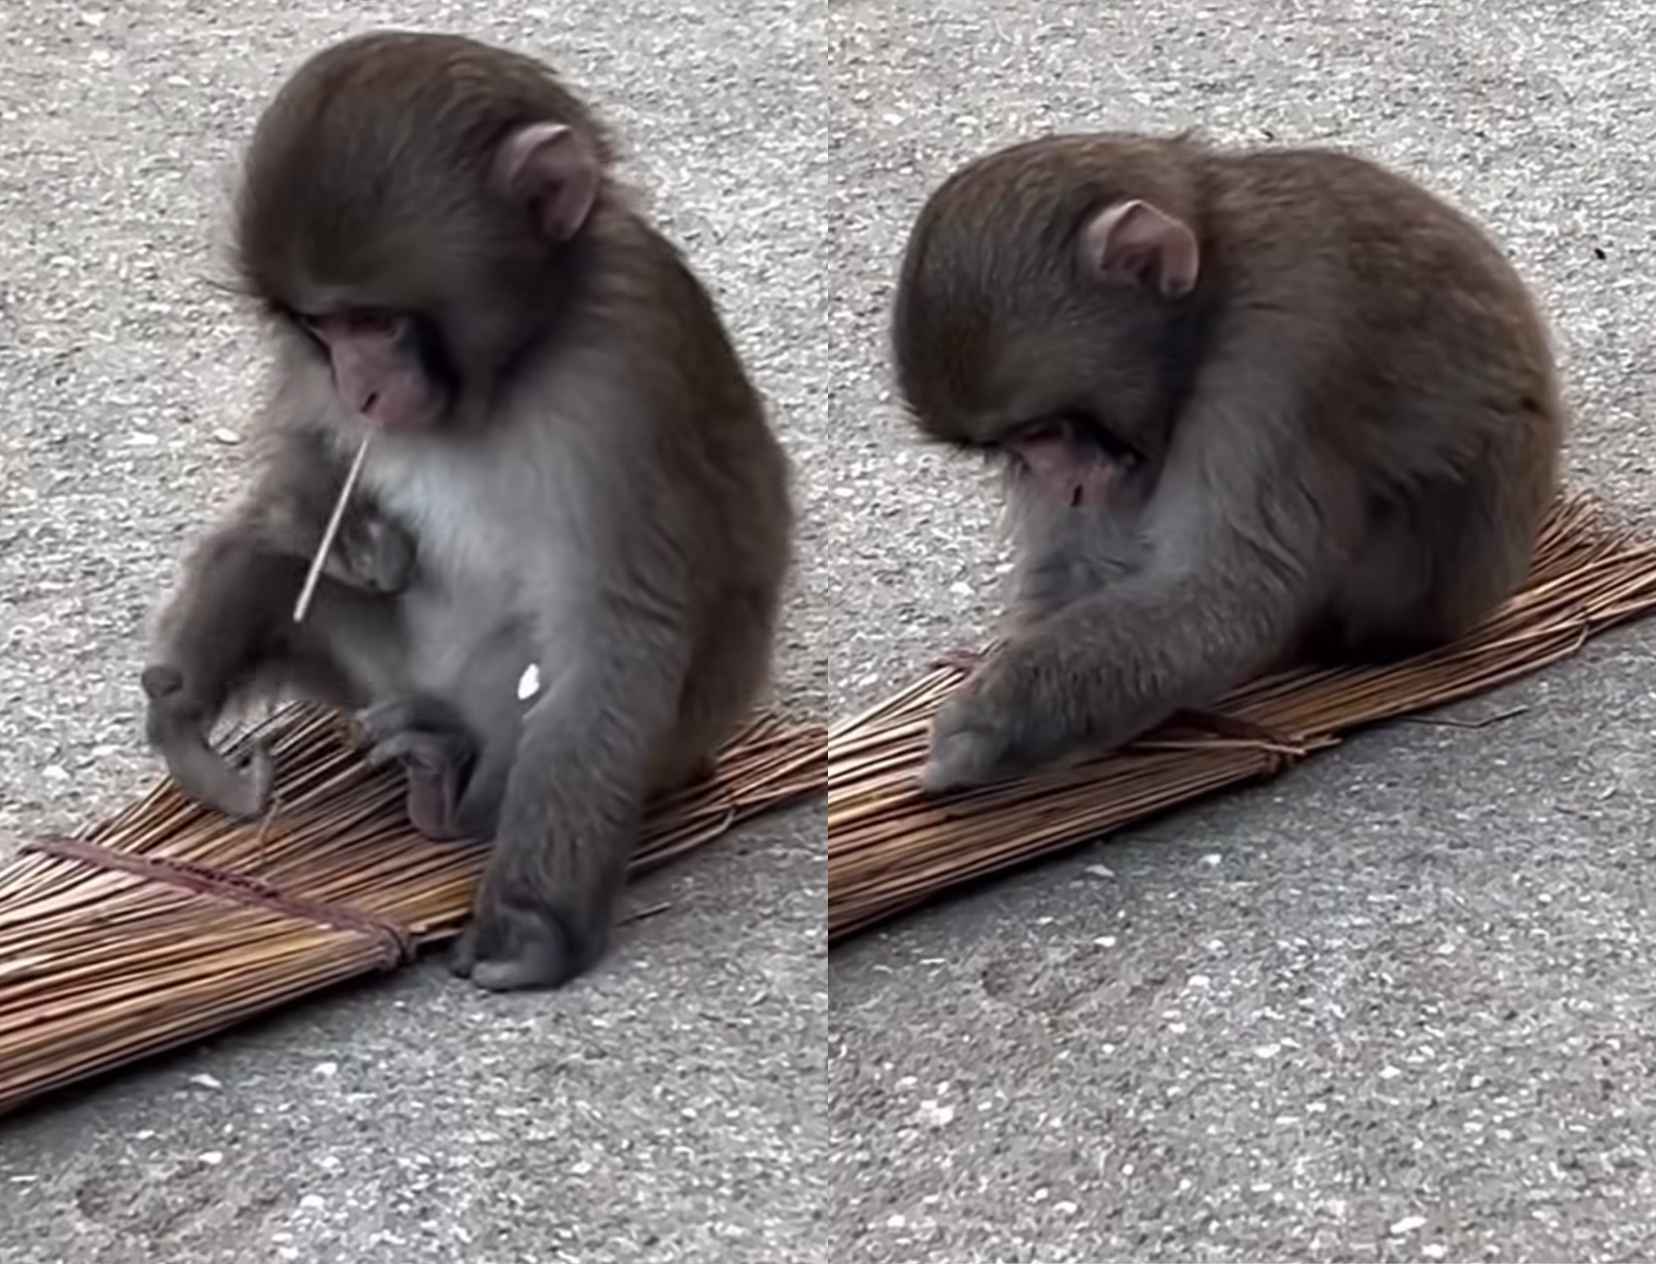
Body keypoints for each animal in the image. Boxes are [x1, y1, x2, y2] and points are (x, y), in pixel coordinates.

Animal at [139, 30, 794, 992]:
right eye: (321, 328)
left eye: (377, 320)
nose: (361, 387)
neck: (507, 368)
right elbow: (305, 466)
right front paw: (346, 531)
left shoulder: (628, 358)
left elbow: (617, 630)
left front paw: (530, 925)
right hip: (368, 674)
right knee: (261, 558)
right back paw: (194, 723)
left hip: (640, 743)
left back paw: (450, 792)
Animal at [891, 132, 1563, 794]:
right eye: (1018, 447)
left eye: (1044, 429)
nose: (1067, 482)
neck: (1215, 289)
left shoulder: (1277, 356)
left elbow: (1235, 593)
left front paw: (989, 724)